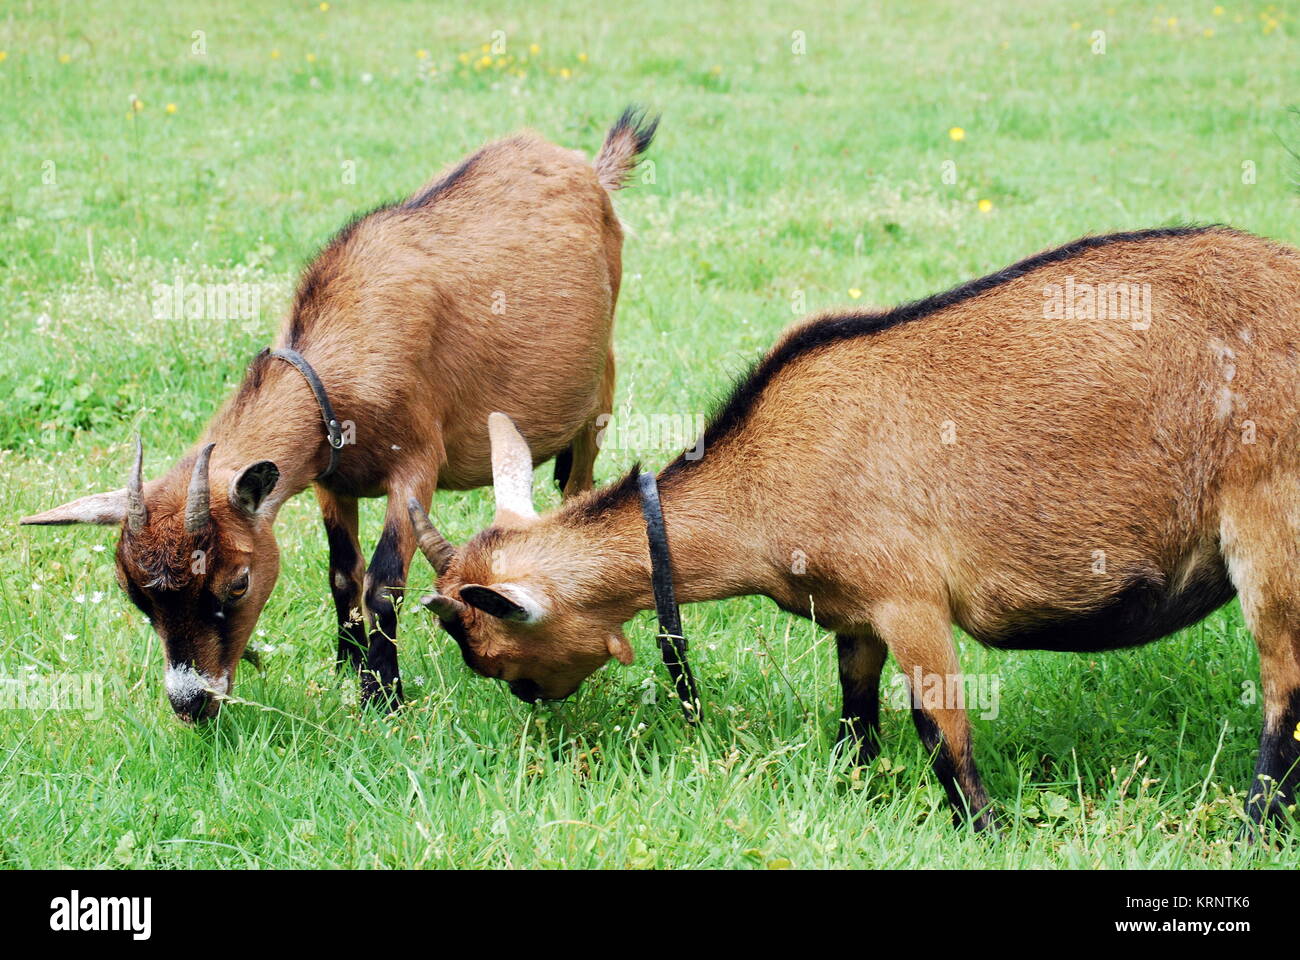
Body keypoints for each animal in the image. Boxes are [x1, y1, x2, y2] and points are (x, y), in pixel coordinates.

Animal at [21, 107, 659, 721]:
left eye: (237, 584)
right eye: (136, 595)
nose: (191, 703)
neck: (346, 349)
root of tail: (590, 169)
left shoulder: (416, 466)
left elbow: (382, 583)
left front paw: (382, 695)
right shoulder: (330, 476)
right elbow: (341, 574)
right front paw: (343, 669)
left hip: (599, 389)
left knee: (579, 477)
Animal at [409, 226, 1300, 833]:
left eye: (490, 649)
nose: (532, 699)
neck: (764, 478)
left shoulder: (910, 598)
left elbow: (940, 728)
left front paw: (986, 830)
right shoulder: (855, 613)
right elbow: (856, 709)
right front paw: (852, 789)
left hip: (1271, 522)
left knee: (1282, 686)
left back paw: (1255, 825)